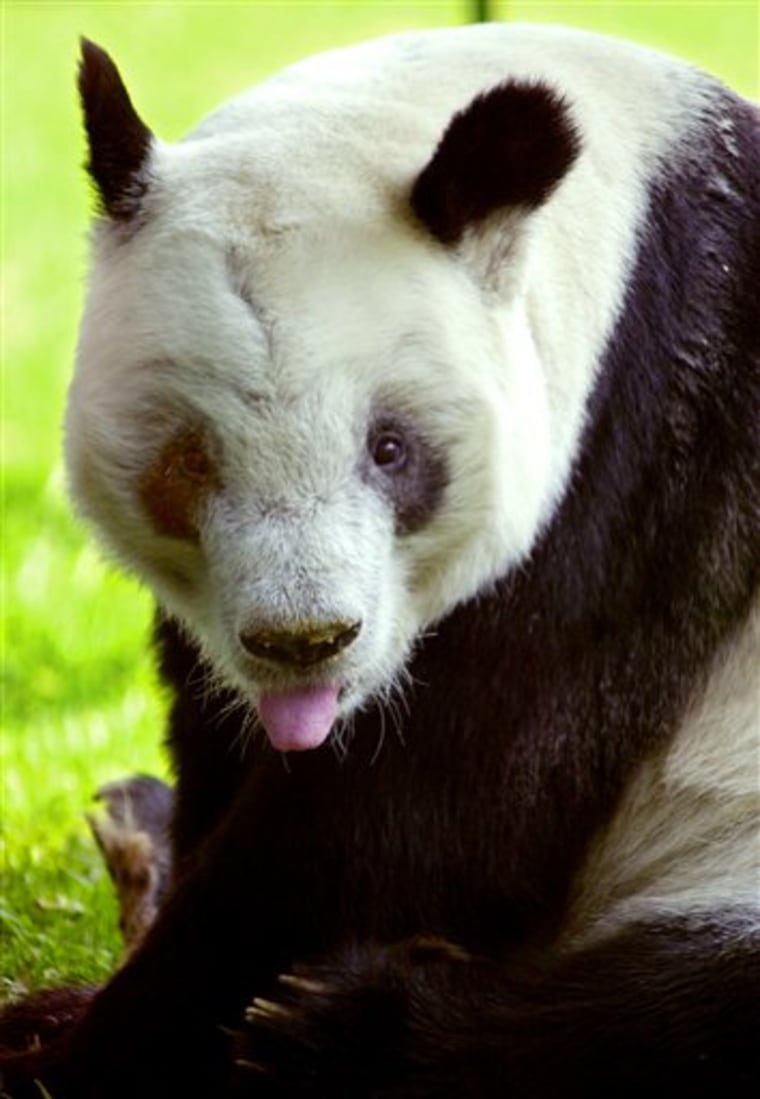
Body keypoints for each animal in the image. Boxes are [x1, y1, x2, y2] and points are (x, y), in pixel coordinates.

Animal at [1, 20, 758, 1099]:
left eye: (390, 448)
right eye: (190, 457)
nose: (304, 639)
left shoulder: (640, 458)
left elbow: (432, 814)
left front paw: (70, 1058)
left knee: (673, 1010)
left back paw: (328, 1027)